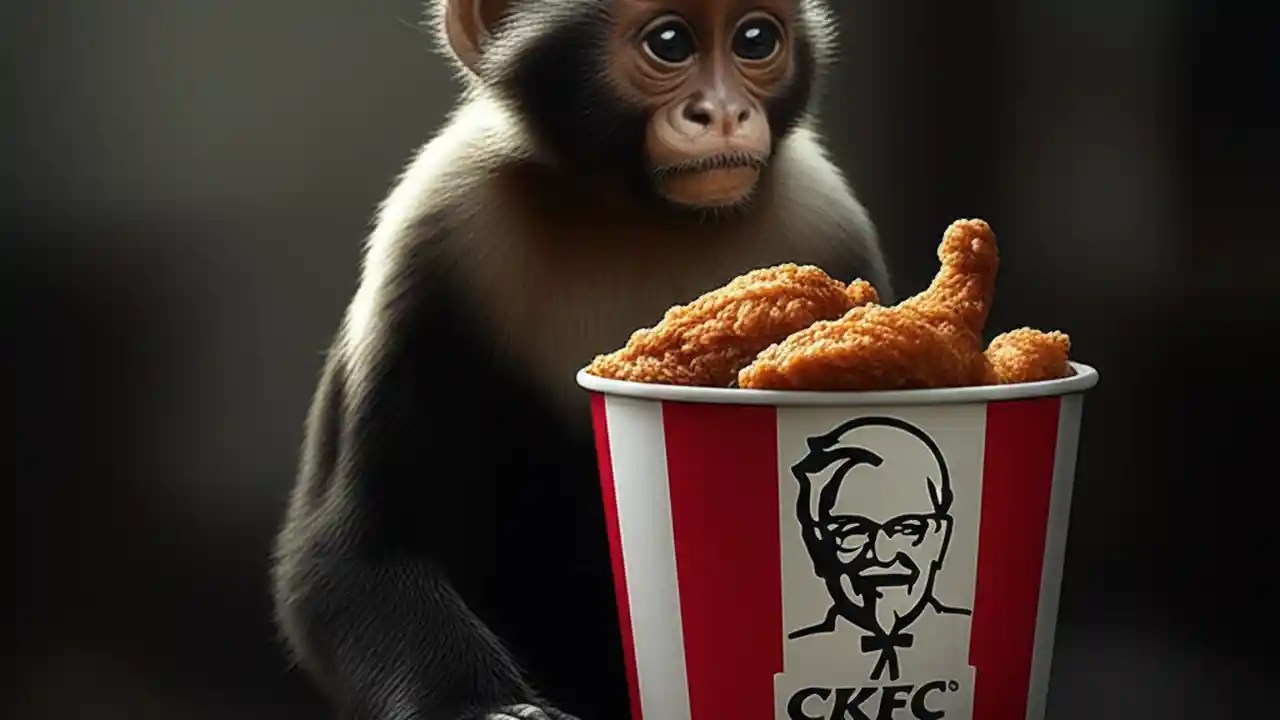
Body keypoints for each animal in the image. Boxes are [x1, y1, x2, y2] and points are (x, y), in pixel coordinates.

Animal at [270, 1, 892, 719]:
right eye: (669, 44)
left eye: (755, 39)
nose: (722, 113)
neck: (637, 214)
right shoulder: (436, 228)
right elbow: (350, 558)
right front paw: (489, 710)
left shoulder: (826, 218)